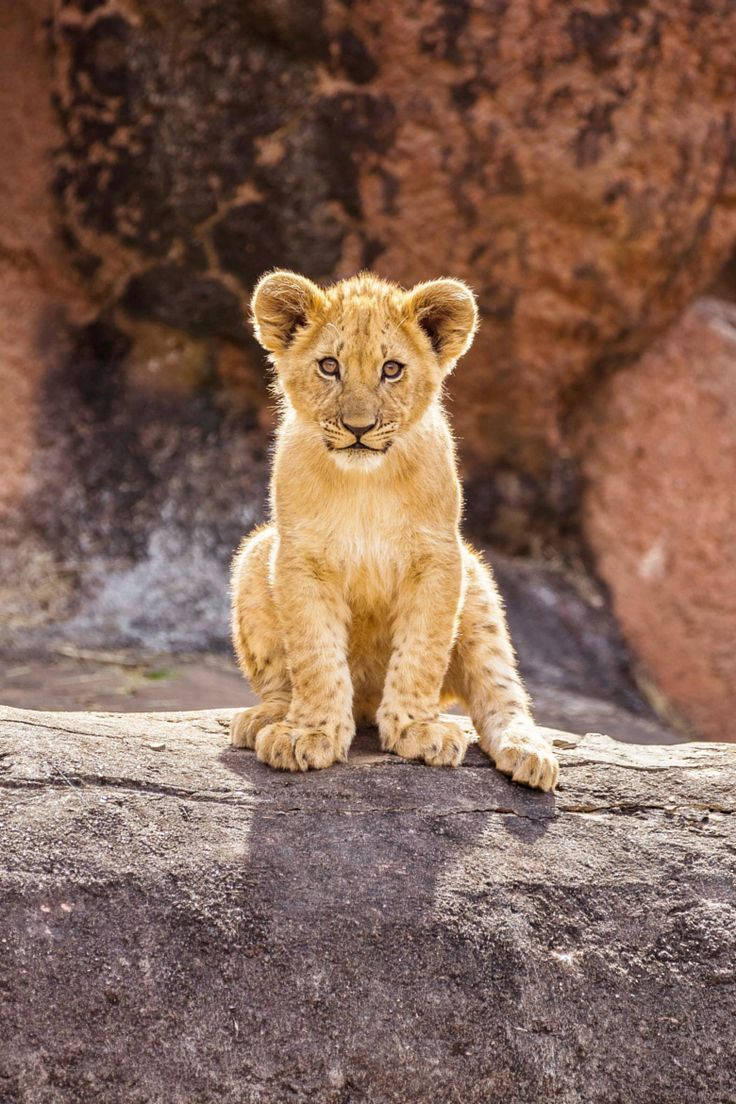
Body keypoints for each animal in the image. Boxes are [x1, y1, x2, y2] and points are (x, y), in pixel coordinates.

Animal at [229, 270, 559, 791]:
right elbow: (315, 655)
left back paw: (529, 752)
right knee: (283, 681)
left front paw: (416, 729)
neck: (366, 483)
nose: (358, 428)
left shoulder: (440, 557)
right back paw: (267, 718)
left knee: (500, 689)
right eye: (329, 366)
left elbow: (422, 651)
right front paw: (310, 732)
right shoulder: (299, 559)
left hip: (478, 583)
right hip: (256, 554)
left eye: (391, 369)